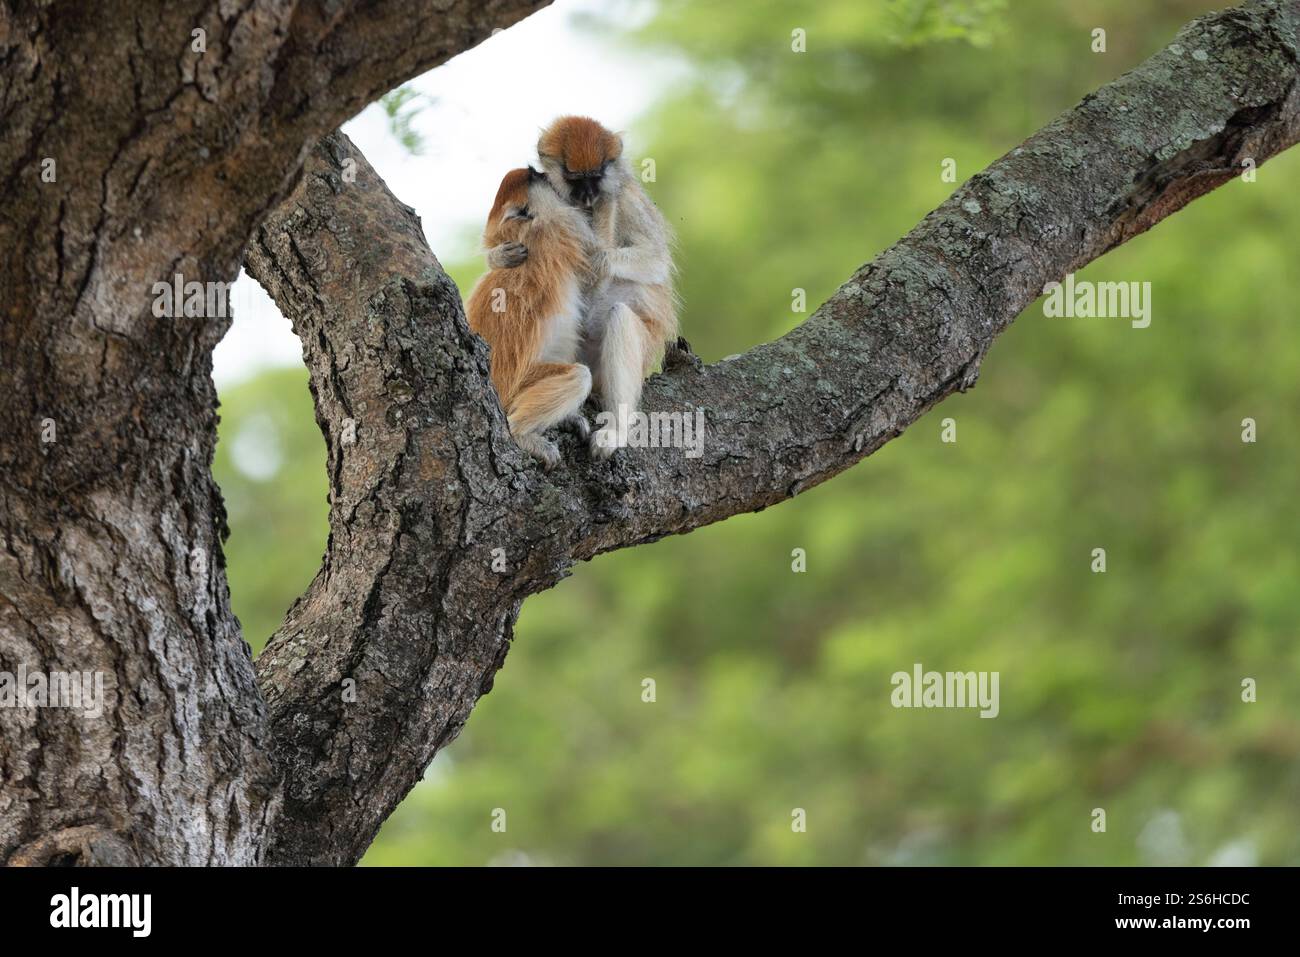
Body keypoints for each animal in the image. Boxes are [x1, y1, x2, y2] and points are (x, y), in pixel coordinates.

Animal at [488, 116, 677, 459]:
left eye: (596, 177)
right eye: (575, 179)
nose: (589, 196)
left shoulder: (624, 197)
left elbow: (655, 259)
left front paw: (600, 259)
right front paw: (498, 256)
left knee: (621, 318)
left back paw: (616, 429)